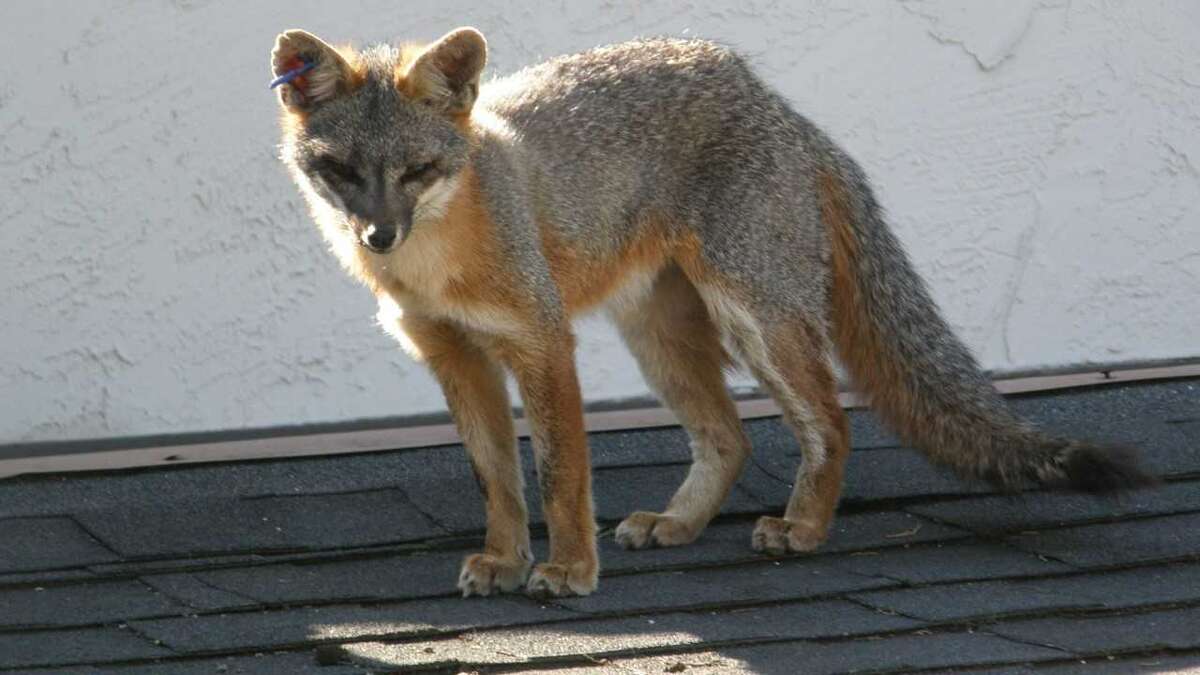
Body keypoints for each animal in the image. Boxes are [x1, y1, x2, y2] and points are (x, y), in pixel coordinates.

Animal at [270, 27, 1155, 598]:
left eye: (417, 170)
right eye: (344, 171)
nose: (379, 235)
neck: (439, 264)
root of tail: (774, 100)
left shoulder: (543, 343)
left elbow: (558, 472)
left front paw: (569, 570)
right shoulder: (457, 358)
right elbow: (497, 477)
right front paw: (504, 558)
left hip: (752, 318)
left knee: (830, 420)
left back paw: (803, 528)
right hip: (658, 338)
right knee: (729, 437)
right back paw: (681, 522)